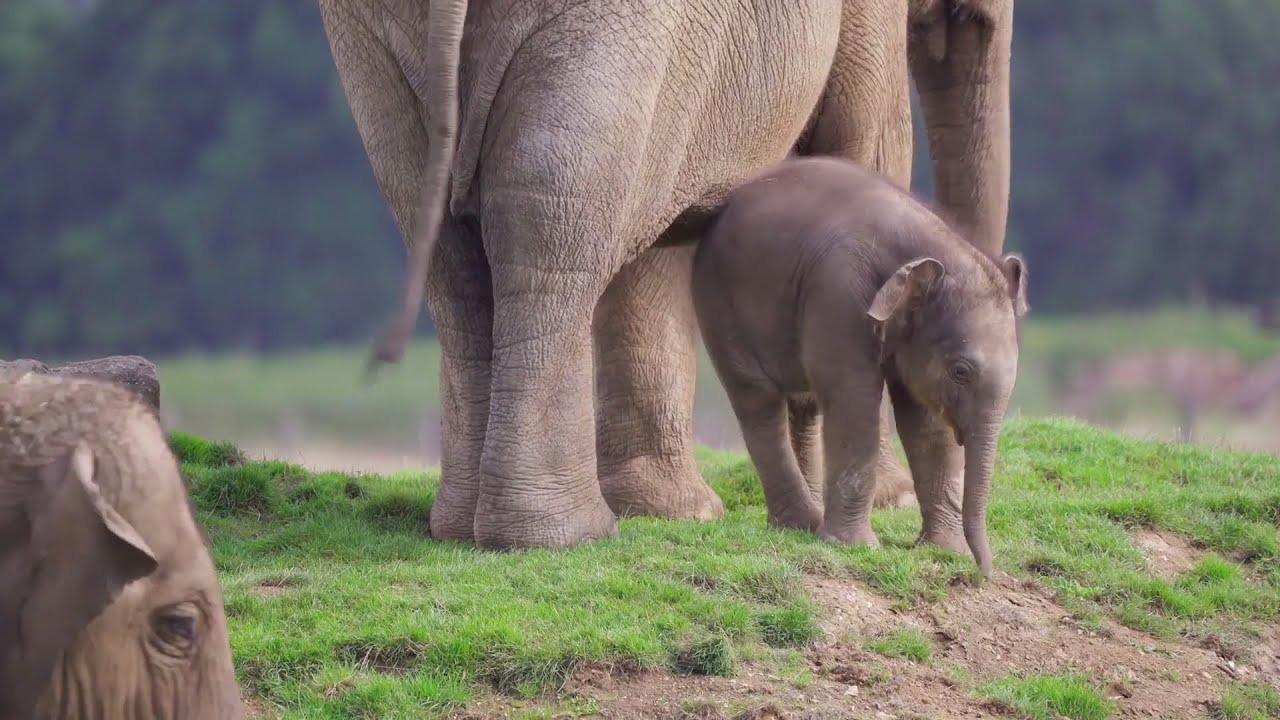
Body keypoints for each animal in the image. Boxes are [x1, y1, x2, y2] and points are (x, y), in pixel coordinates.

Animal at [321, 0, 1014, 549]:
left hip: (370, 41)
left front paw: (671, 513)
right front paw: (890, 500)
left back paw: (467, 530)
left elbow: (655, 241)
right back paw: (563, 537)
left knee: (448, 237)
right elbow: (866, 138)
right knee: (551, 223)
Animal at [691, 157, 1027, 575]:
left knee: (804, 406)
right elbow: (854, 399)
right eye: (960, 371)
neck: (928, 245)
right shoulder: (839, 292)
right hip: (719, 305)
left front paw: (944, 552)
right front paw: (854, 547)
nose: (988, 572)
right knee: (757, 401)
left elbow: (924, 420)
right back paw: (802, 524)